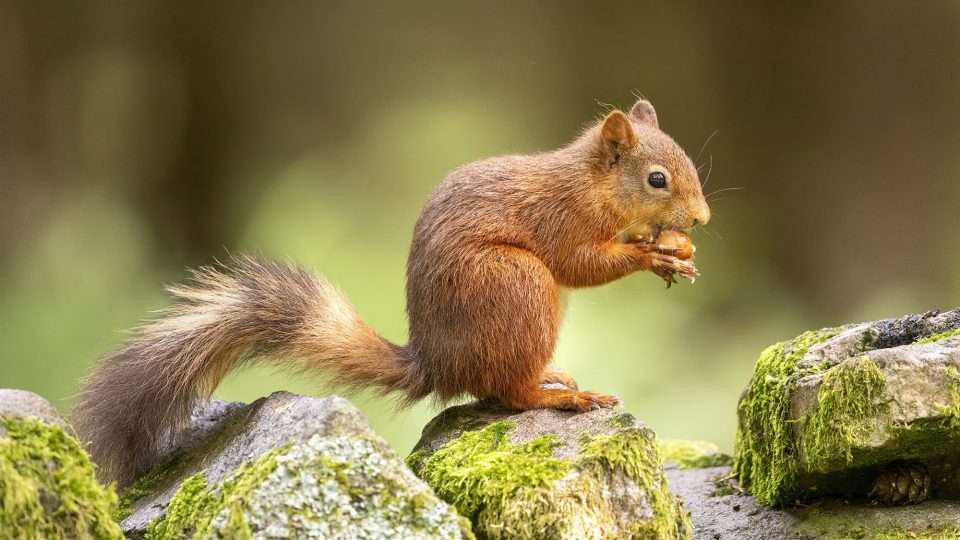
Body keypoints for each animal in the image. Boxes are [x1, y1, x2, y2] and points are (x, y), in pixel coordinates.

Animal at [74, 98, 711, 486]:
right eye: (656, 179)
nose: (702, 218)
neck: (591, 184)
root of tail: (438, 365)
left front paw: (671, 253)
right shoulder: (562, 221)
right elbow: (581, 264)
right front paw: (651, 253)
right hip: (518, 285)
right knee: (509, 393)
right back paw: (561, 396)